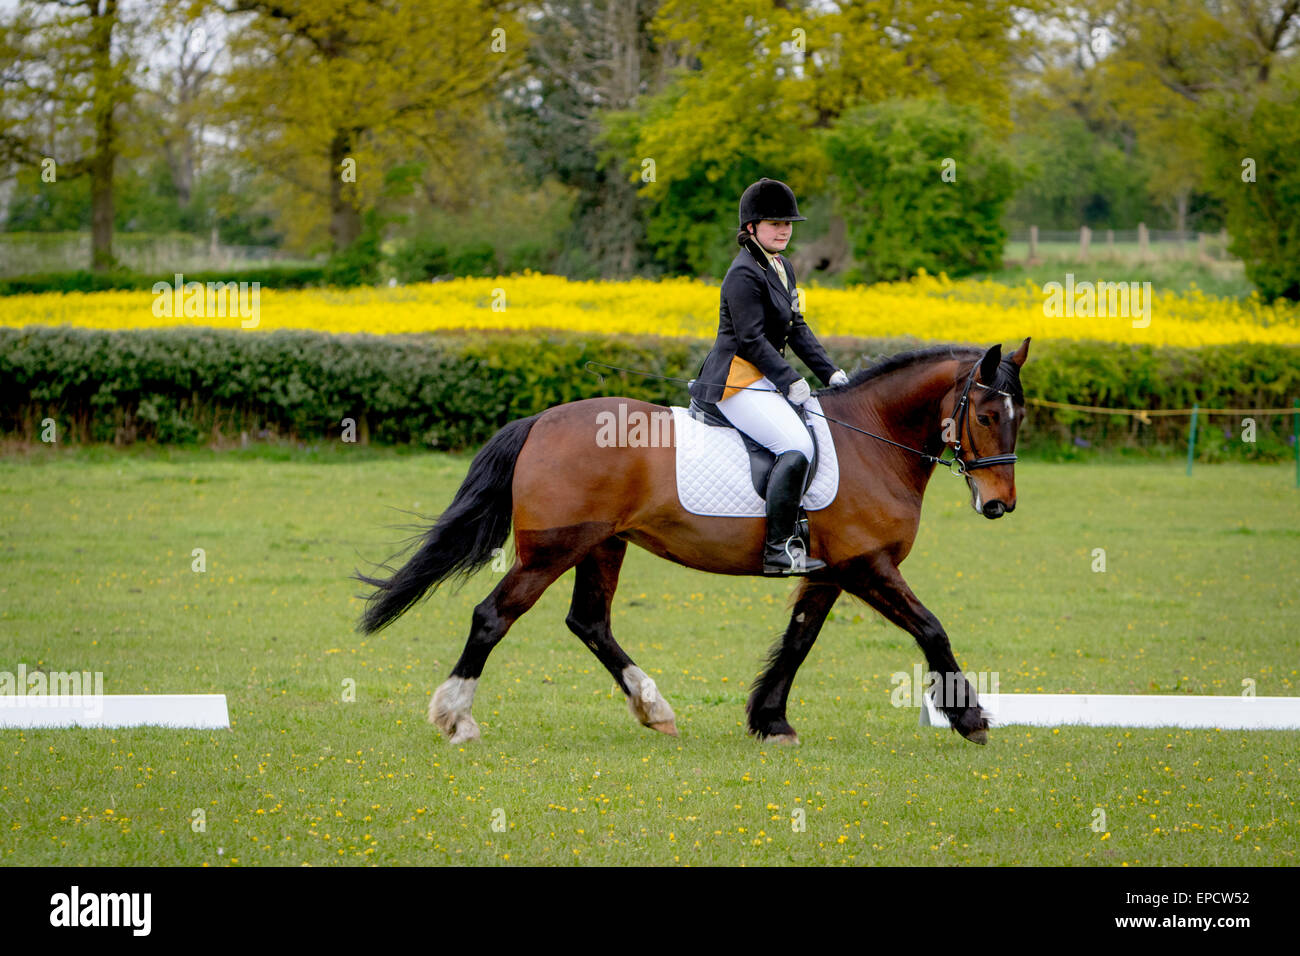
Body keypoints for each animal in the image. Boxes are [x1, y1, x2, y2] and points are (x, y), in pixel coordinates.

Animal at [354, 338, 1031, 746]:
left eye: (1019, 416)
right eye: (986, 415)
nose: (998, 504)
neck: (873, 440)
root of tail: (542, 420)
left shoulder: (829, 572)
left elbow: (799, 641)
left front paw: (770, 720)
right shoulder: (869, 566)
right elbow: (931, 628)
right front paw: (970, 719)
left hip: (603, 546)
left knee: (589, 623)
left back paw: (654, 709)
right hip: (553, 550)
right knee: (494, 616)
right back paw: (457, 719)